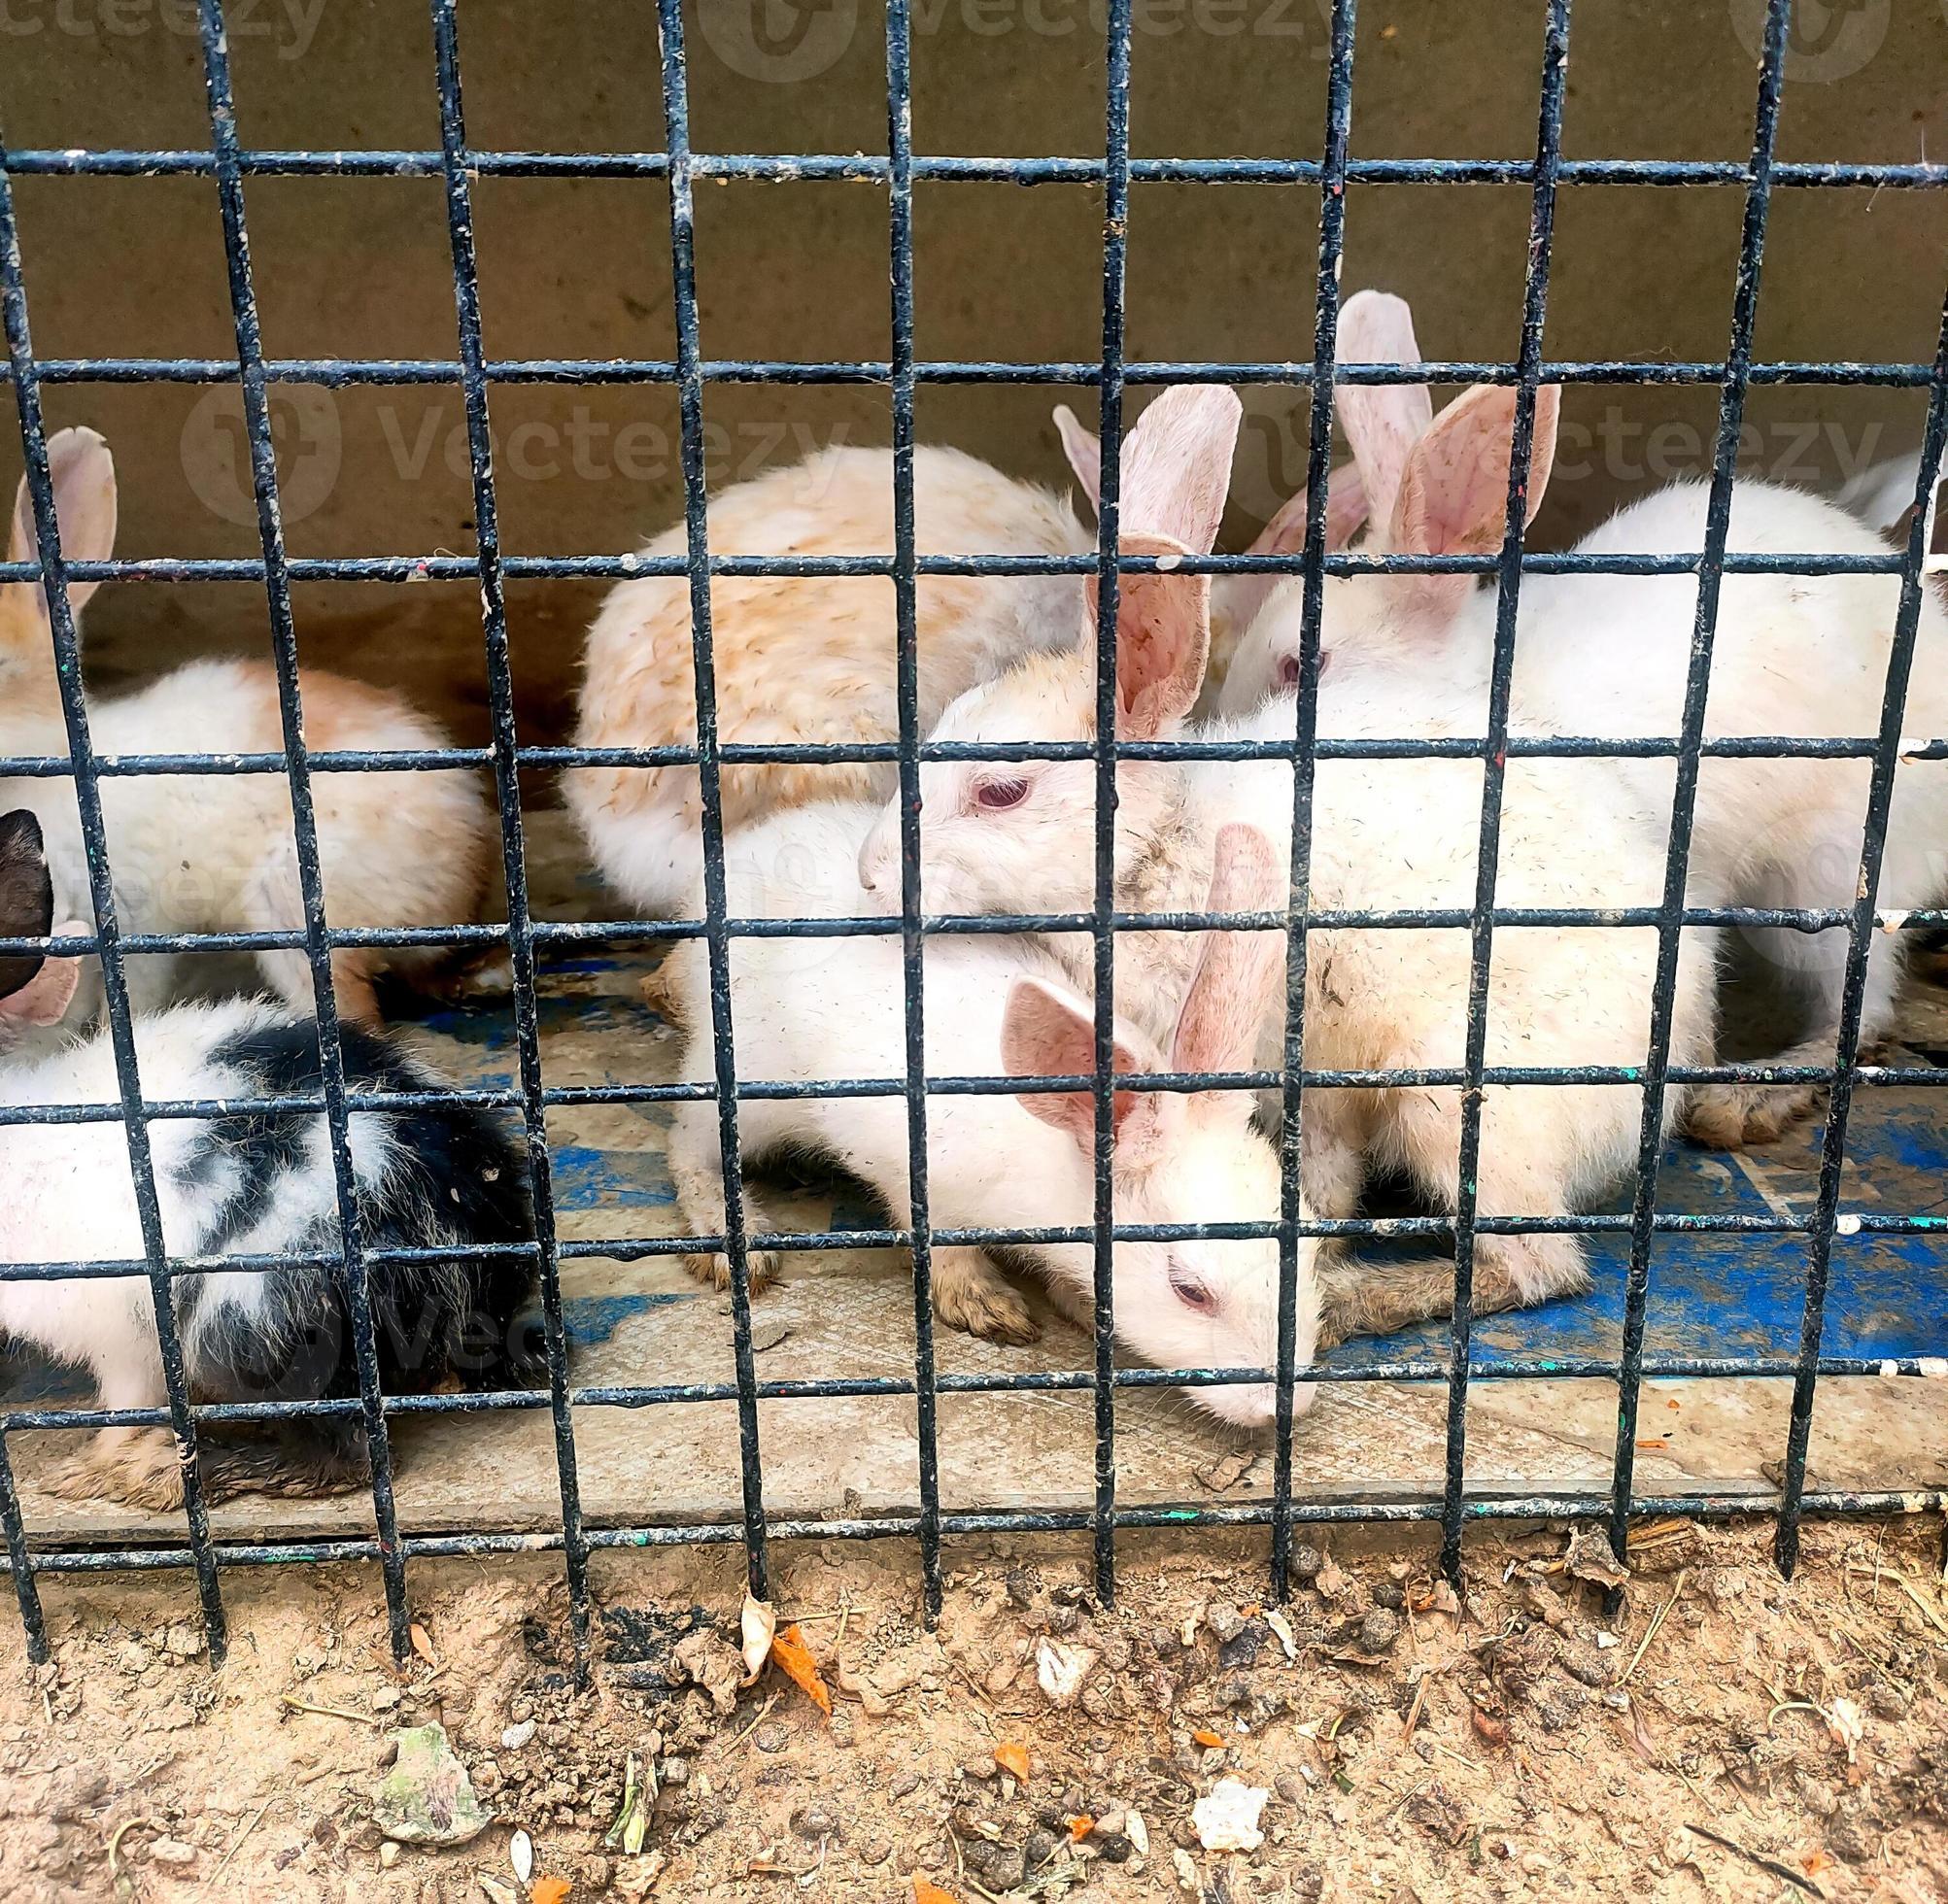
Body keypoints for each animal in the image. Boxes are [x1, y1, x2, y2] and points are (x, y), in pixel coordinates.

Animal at [0, 806, 545, 1510]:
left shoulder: (119, 1335)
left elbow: (128, 1401)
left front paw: (95, 1467)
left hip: (251, 1322)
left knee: (342, 1455)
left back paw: (172, 1473)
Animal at [662, 799, 1318, 1430]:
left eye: (1309, 1248)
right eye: (1190, 1292)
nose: (1283, 1408)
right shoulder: (906, 1169)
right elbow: (935, 1243)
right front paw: (982, 1303)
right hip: (746, 1091)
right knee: (687, 1148)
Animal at [857, 380, 1722, 1346]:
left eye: (1000, 792)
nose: (868, 872)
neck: (1156, 858)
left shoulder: (1312, 1066)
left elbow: (1325, 1181)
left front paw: (1315, 1267)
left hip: (1462, 1109)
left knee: (1536, 1268)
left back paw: (1355, 1302)